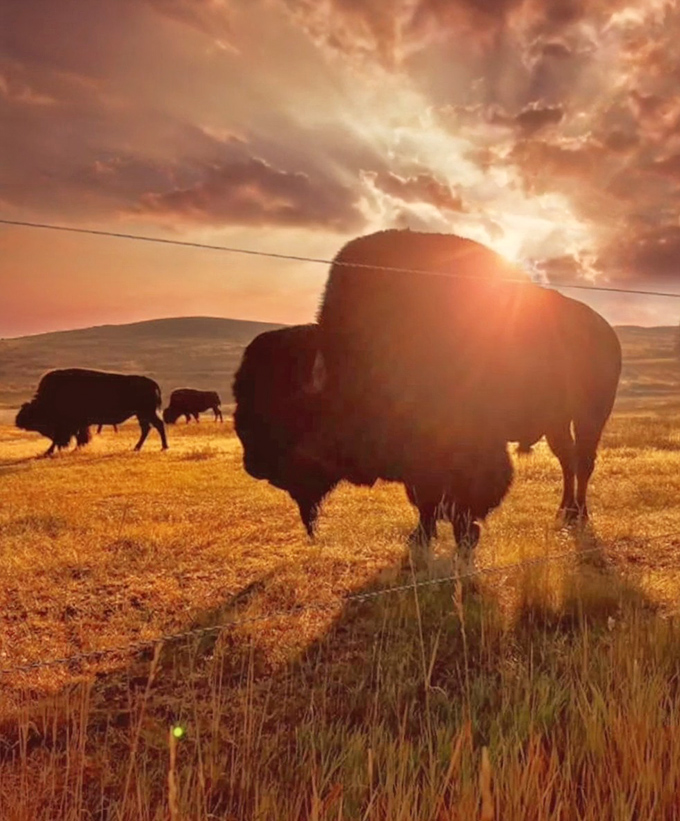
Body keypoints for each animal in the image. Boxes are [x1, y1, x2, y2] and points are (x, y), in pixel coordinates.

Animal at [16, 368, 168, 455]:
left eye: (41, 425)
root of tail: (153, 384)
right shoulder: (78, 424)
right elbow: (79, 436)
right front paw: (76, 448)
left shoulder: (70, 424)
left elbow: (75, 436)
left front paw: (49, 451)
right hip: (142, 414)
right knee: (147, 428)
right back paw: (137, 448)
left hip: (147, 412)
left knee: (157, 425)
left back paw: (164, 447)